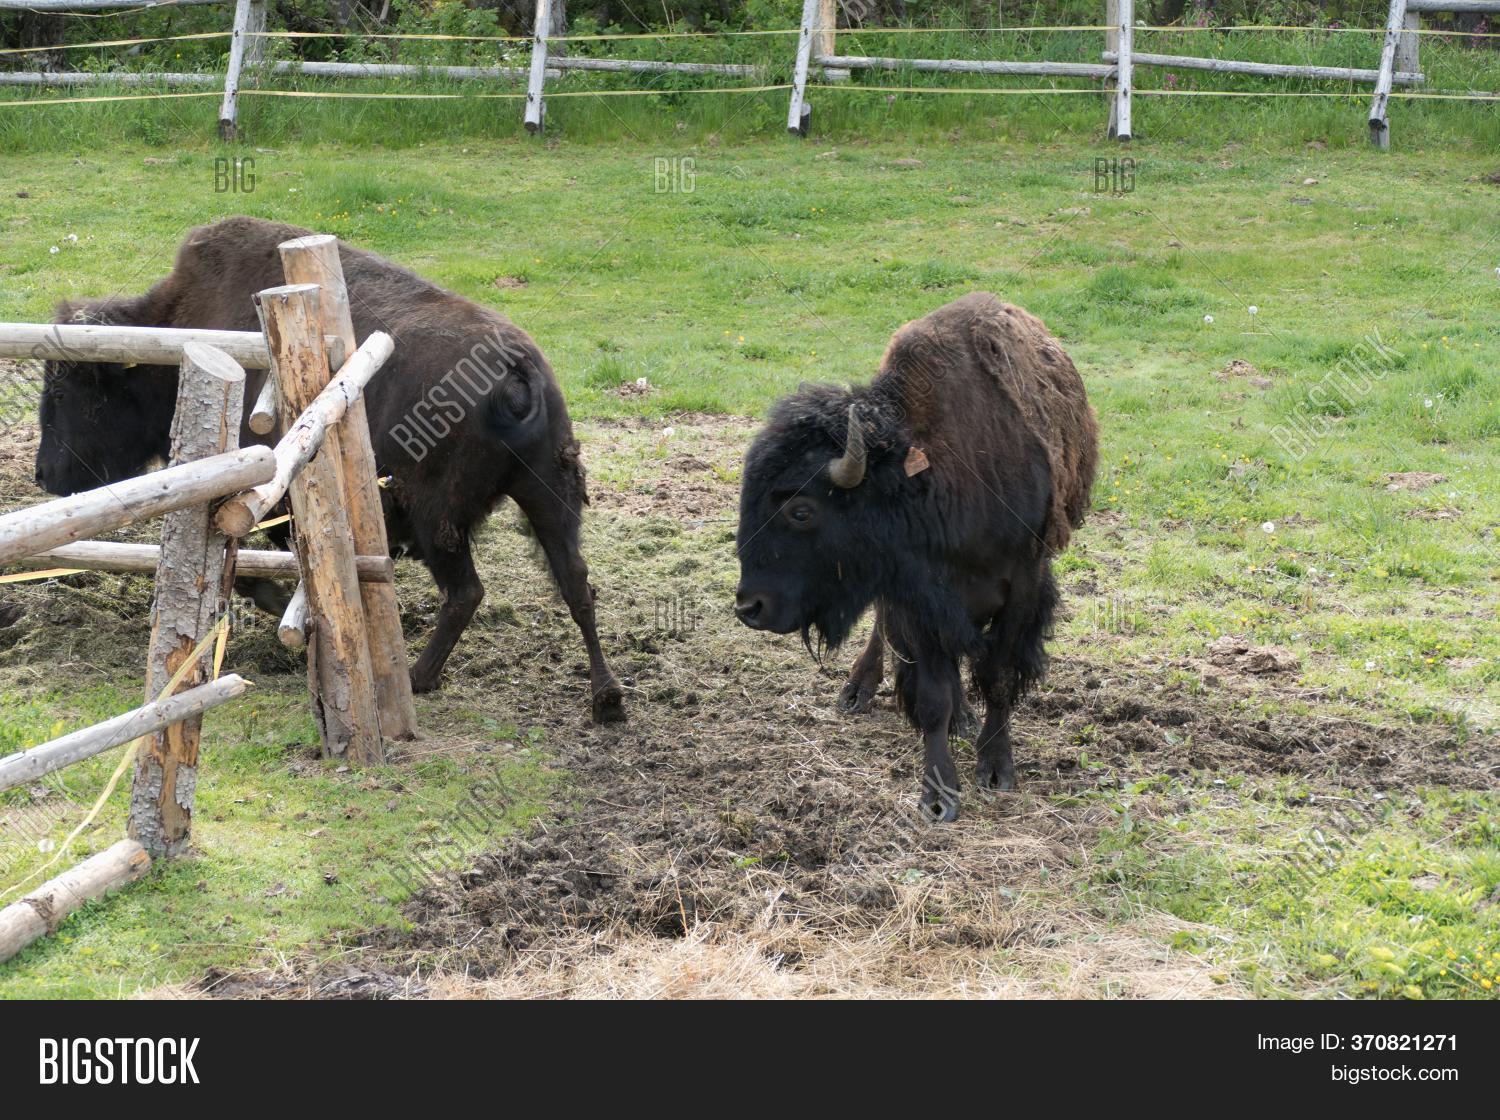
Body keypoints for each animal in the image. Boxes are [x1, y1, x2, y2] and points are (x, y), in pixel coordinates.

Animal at [35, 216, 625, 723]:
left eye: (63, 391)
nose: (45, 475)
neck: (176, 324)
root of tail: (516, 369)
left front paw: (281, 610)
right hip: (548, 495)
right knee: (576, 585)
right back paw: (607, 700)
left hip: (443, 519)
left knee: (467, 593)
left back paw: (420, 677)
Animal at [734, 293, 1097, 819]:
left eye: (801, 510)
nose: (750, 607)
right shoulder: (916, 596)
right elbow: (931, 697)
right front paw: (939, 794)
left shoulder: (1023, 583)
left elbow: (999, 676)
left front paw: (994, 769)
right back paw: (858, 690)